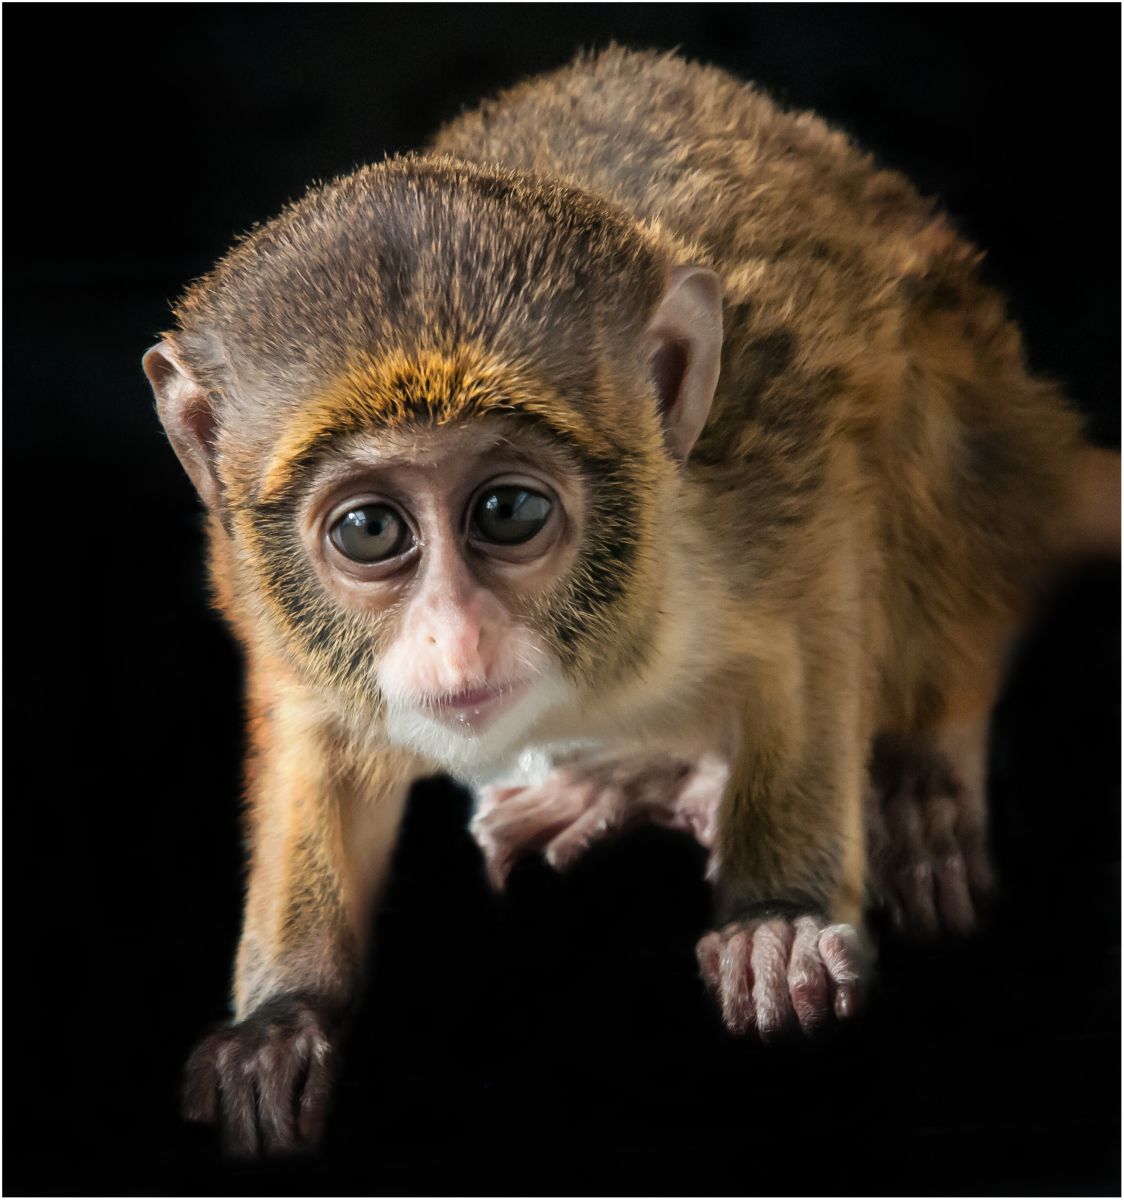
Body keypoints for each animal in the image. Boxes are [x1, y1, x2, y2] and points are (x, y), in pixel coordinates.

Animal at [144, 47, 1119, 1157]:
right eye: (370, 532)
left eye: (509, 511)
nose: (455, 639)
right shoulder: (256, 591)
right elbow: (313, 725)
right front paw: (281, 1017)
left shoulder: (765, 465)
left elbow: (816, 599)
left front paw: (776, 916)